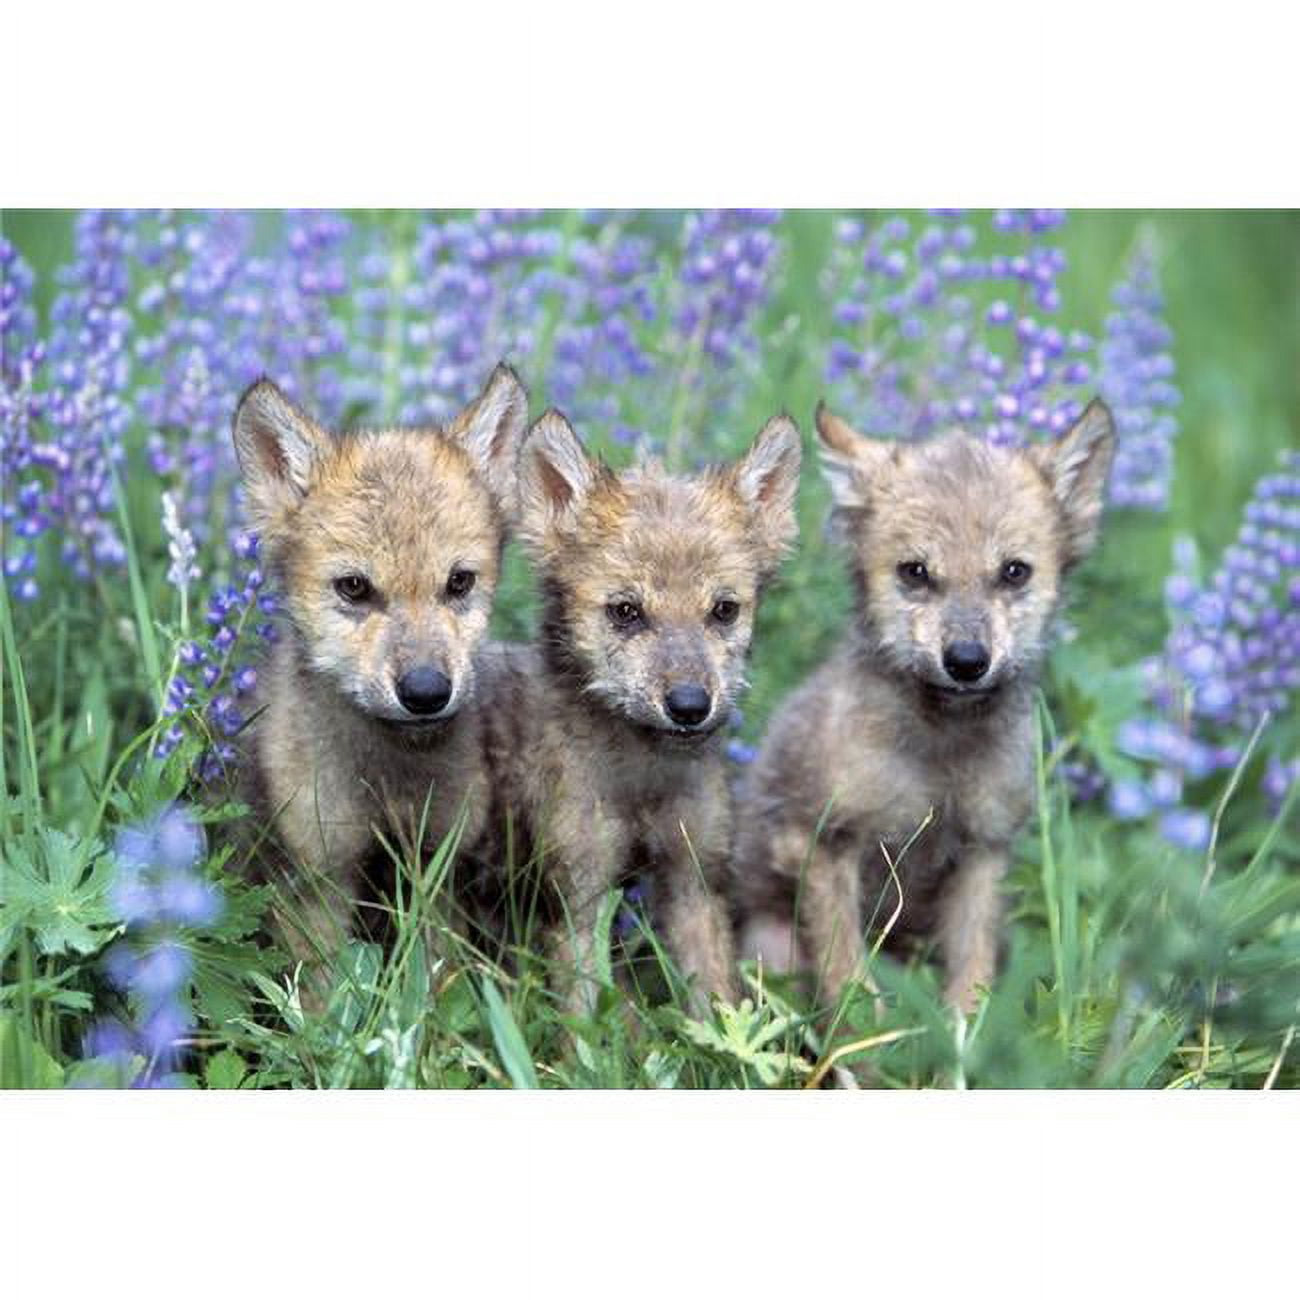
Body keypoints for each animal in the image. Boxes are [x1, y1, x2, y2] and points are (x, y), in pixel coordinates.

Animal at [229, 364, 528, 976]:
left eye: (459, 582)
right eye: (354, 587)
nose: (426, 691)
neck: (391, 781)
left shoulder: (435, 865)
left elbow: (437, 981)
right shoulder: (321, 880)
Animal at [486, 407, 802, 1014]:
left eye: (723, 610)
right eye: (625, 611)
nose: (690, 706)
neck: (642, 778)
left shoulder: (695, 881)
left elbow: (717, 1009)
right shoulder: (578, 898)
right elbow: (583, 1021)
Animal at [732, 399, 1115, 1013]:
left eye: (1014, 572)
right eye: (915, 572)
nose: (966, 661)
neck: (940, 758)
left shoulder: (984, 854)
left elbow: (971, 981)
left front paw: (963, 1036)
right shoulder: (822, 844)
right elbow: (850, 987)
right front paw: (869, 1036)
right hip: (771, 947)